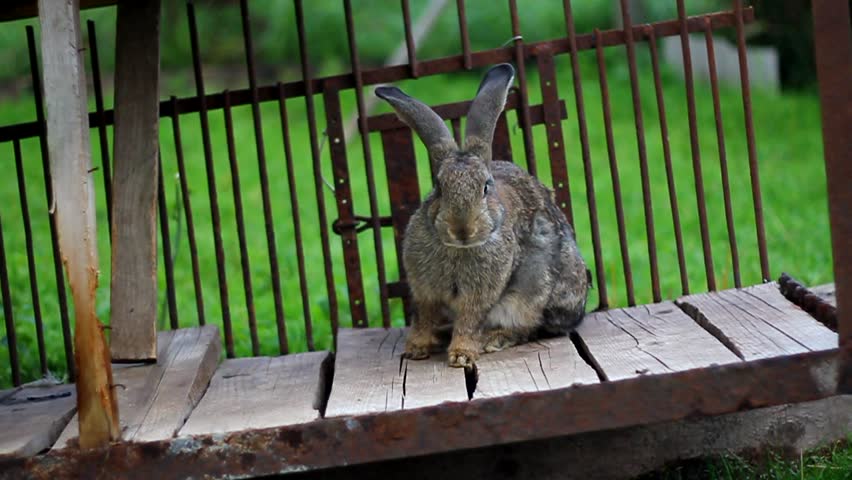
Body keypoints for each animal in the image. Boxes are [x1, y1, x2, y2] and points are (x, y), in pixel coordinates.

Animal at [375, 63, 590, 368]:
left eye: (486, 187)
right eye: (439, 186)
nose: (462, 229)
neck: (457, 249)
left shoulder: (479, 296)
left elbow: (469, 321)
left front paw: (461, 356)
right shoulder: (425, 292)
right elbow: (424, 318)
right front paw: (416, 349)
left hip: (534, 290)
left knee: (531, 326)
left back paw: (493, 339)